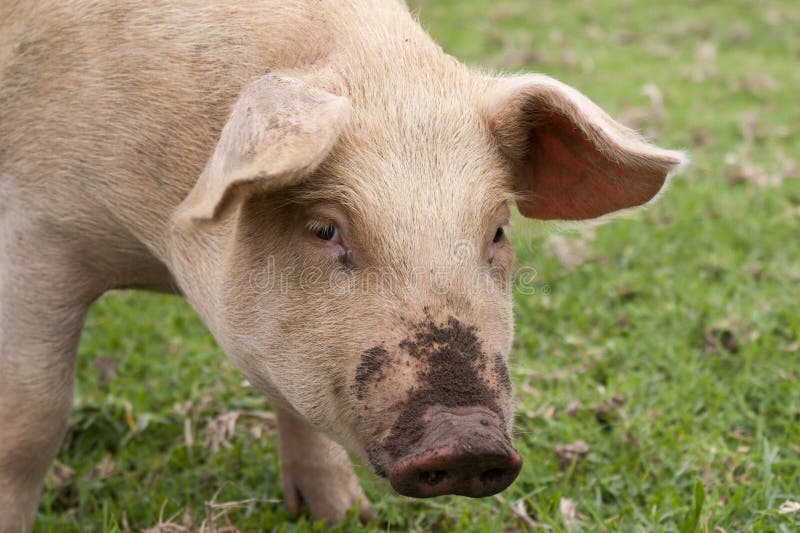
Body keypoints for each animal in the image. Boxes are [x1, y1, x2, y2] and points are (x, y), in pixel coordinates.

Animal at [0, 0, 686, 529]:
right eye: (325, 228)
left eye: (496, 230)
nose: (467, 439)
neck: (157, 251)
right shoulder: (34, 237)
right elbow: (32, 416)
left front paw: (346, 517)